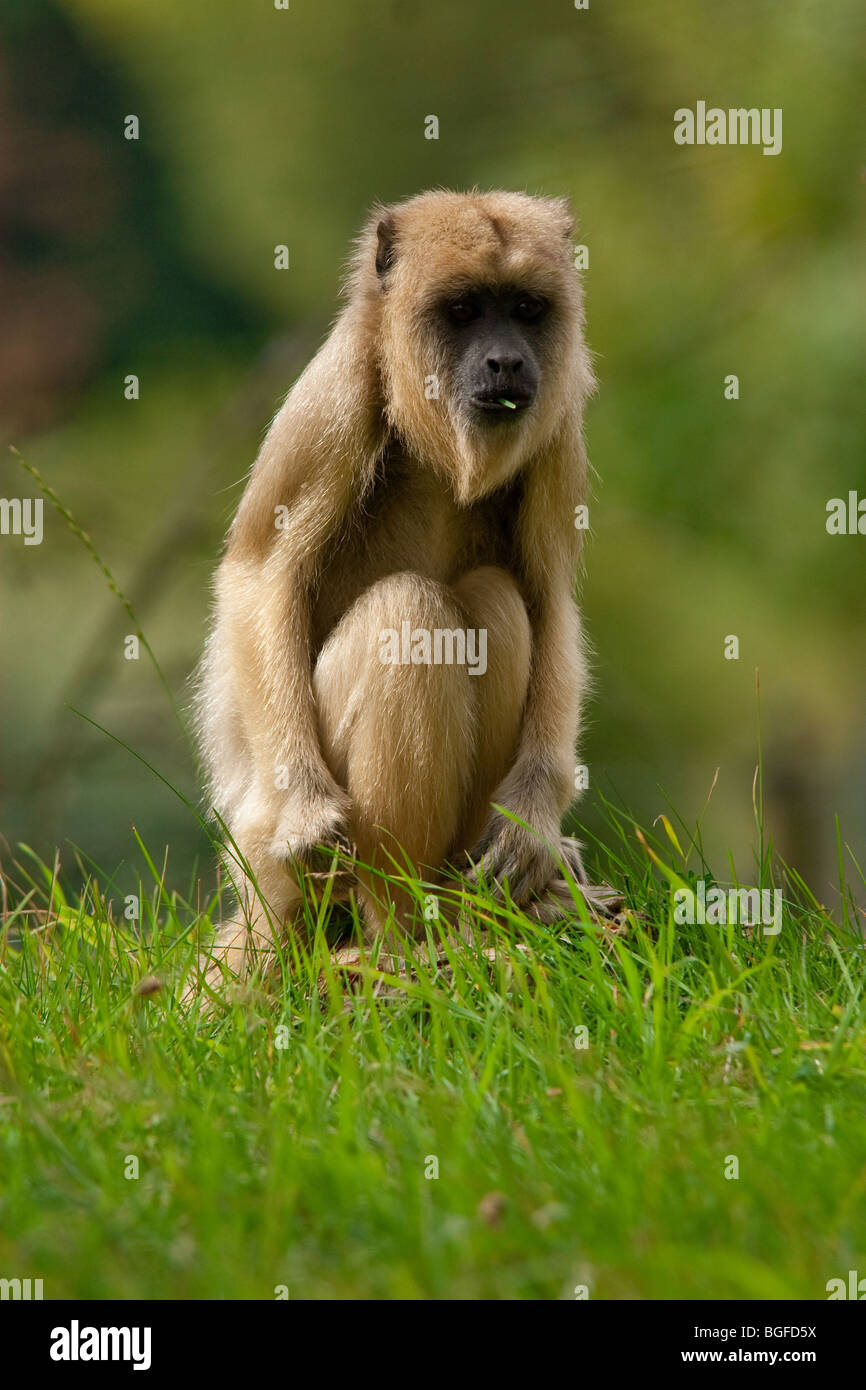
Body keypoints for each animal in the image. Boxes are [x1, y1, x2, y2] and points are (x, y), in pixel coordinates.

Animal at [192, 188, 597, 987]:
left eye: (526, 308)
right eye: (464, 310)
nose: (507, 359)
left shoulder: (560, 418)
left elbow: (549, 600)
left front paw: (536, 822)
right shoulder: (339, 387)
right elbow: (261, 575)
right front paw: (306, 808)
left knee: (496, 601)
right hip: (272, 869)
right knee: (407, 611)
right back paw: (400, 944)